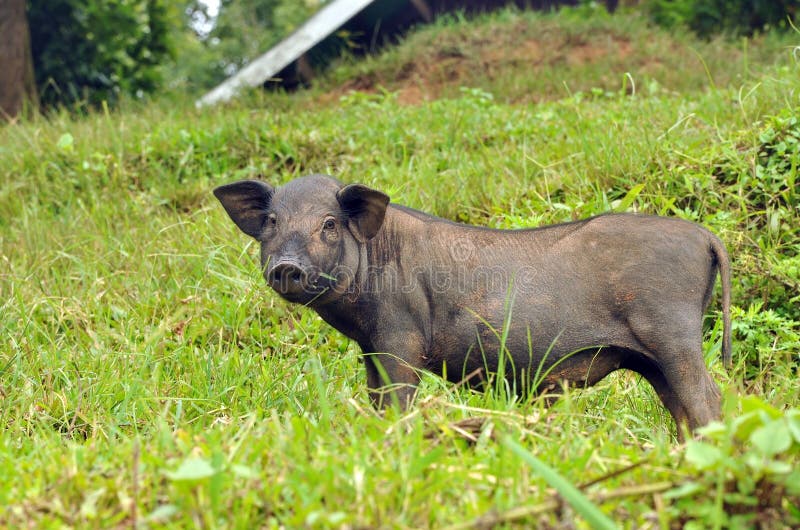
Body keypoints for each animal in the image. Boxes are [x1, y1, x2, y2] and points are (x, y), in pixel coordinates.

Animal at [214, 174, 732, 435]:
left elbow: (399, 396)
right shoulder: (370, 347)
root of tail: (704, 235)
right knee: (683, 407)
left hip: (673, 334)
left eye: (328, 224)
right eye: (272, 221)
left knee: (707, 396)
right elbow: (376, 397)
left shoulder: (401, 336)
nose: (286, 266)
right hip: (652, 358)